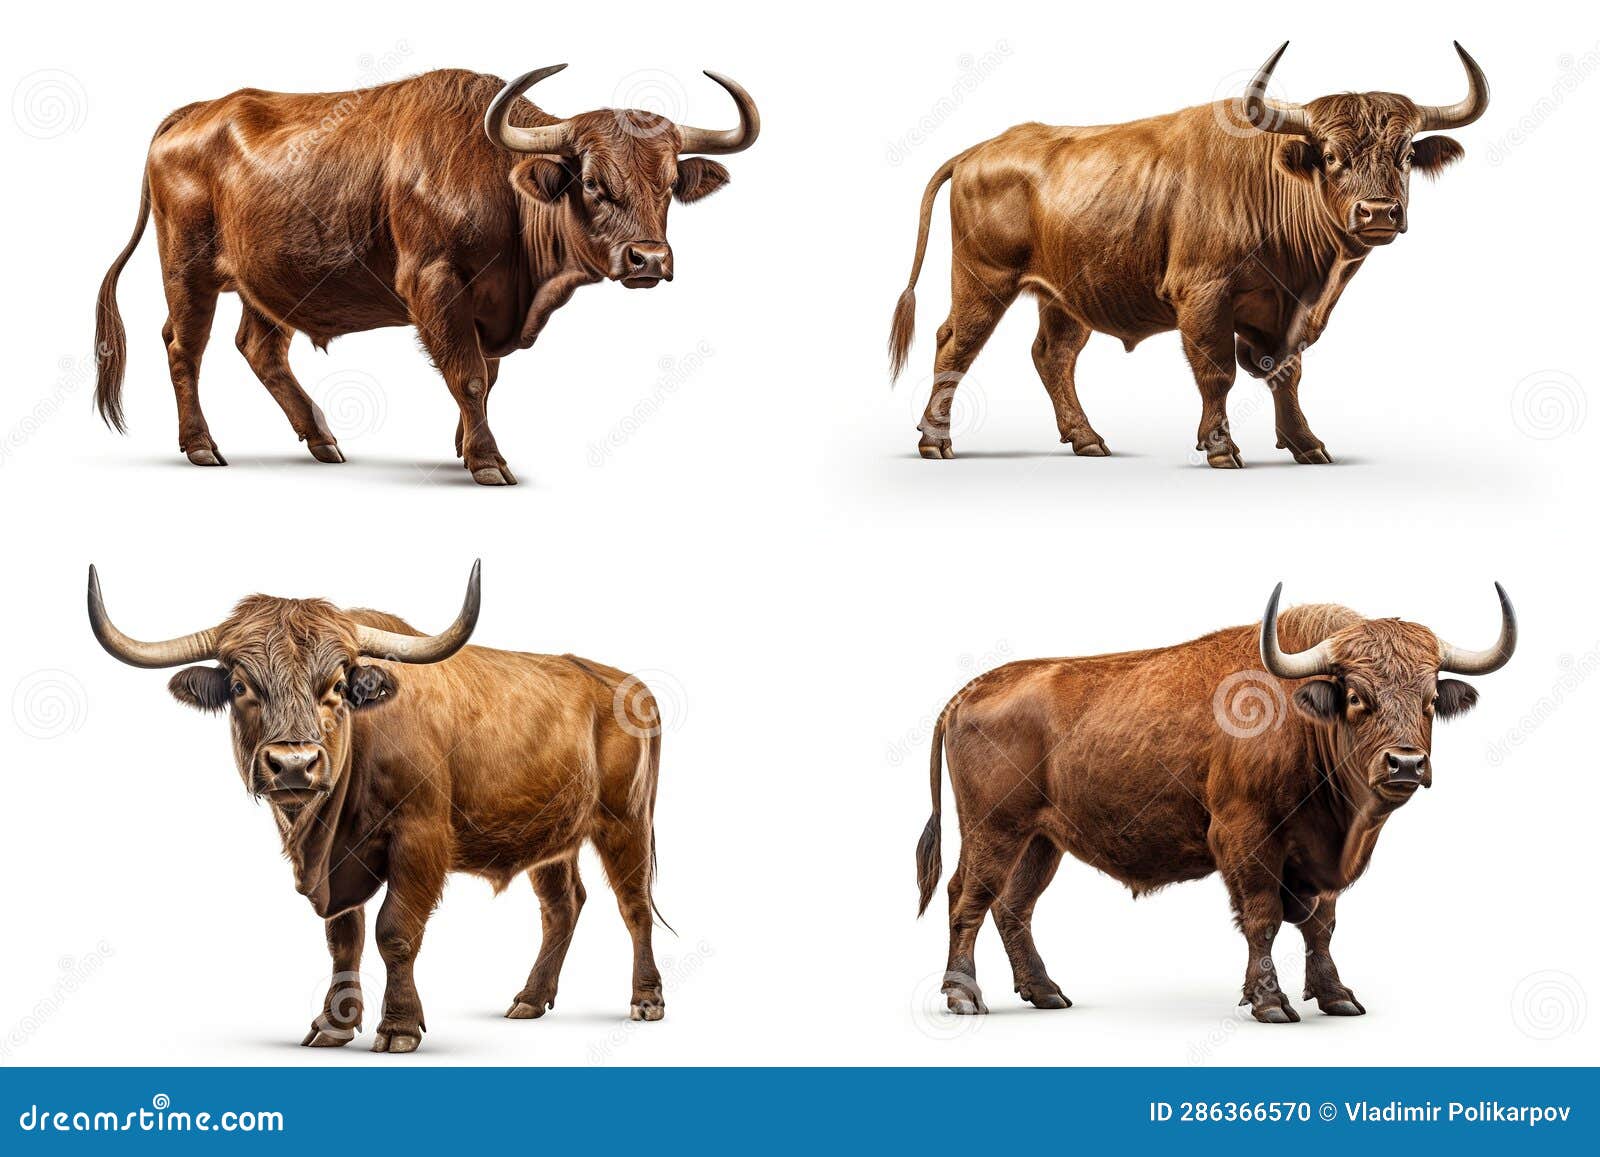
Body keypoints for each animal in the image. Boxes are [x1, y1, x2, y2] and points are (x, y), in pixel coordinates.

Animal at [87, 561, 670, 1052]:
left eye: (337, 686)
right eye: (240, 685)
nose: (294, 765)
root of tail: (626, 685)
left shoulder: (420, 842)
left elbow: (395, 931)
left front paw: (399, 1027)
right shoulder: (338, 863)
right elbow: (343, 939)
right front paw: (333, 1025)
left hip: (627, 822)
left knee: (634, 904)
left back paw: (646, 1000)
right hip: (552, 838)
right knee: (562, 905)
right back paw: (529, 998)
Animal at [94, 65, 760, 484]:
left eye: (669, 183)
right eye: (593, 183)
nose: (649, 260)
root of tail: (195, 111)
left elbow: (487, 380)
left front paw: (465, 448)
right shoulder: (436, 286)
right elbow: (467, 375)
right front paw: (488, 461)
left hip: (266, 283)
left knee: (260, 349)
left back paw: (322, 440)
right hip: (189, 275)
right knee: (184, 347)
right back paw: (203, 447)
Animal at [888, 43, 1488, 466]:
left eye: (1405, 155)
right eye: (1332, 156)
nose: (1379, 213)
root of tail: (978, 151)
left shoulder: (1287, 313)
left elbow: (1287, 373)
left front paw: (1307, 445)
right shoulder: (1204, 296)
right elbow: (1216, 370)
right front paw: (1221, 447)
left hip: (1064, 296)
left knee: (1052, 355)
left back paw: (1088, 439)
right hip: (983, 281)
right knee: (955, 344)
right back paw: (935, 441)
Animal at [915, 584, 1516, 1021]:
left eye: (1431, 699)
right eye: (1354, 696)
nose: (1406, 764)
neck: (1301, 714)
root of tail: (970, 691)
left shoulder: (1321, 859)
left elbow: (1320, 924)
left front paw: (1338, 997)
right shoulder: (1246, 839)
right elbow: (1264, 918)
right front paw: (1270, 1003)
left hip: (1041, 842)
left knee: (1013, 906)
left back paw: (1046, 993)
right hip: (993, 830)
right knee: (967, 897)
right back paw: (965, 997)